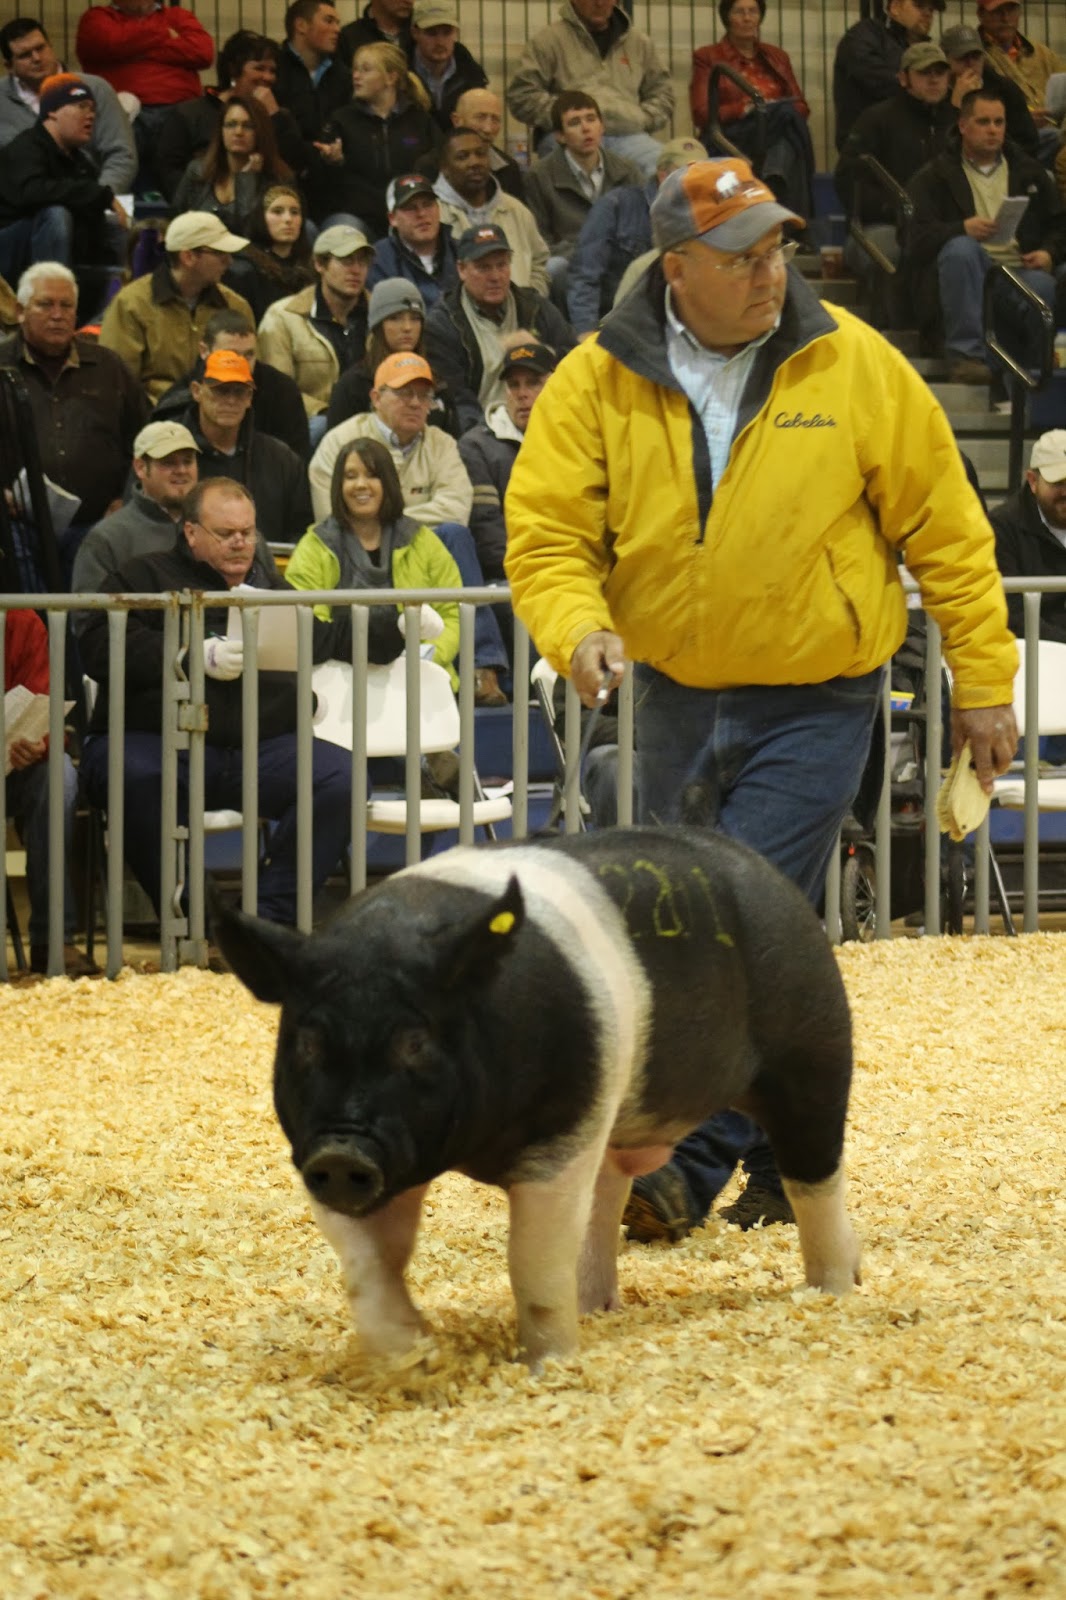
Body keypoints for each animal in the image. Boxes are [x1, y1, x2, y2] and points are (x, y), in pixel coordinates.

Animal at [214, 825, 861, 1369]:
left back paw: (832, 1289)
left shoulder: (560, 1135)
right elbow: (367, 1263)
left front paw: (545, 1365)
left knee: (816, 1179)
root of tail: (772, 878)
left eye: (415, 1042)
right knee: (607, 1202)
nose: (341, 1153)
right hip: (619, 1115)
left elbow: (532, 1257)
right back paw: (596, 1307)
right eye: (306, 1041)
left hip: (814, 1049)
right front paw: (411, 1358)